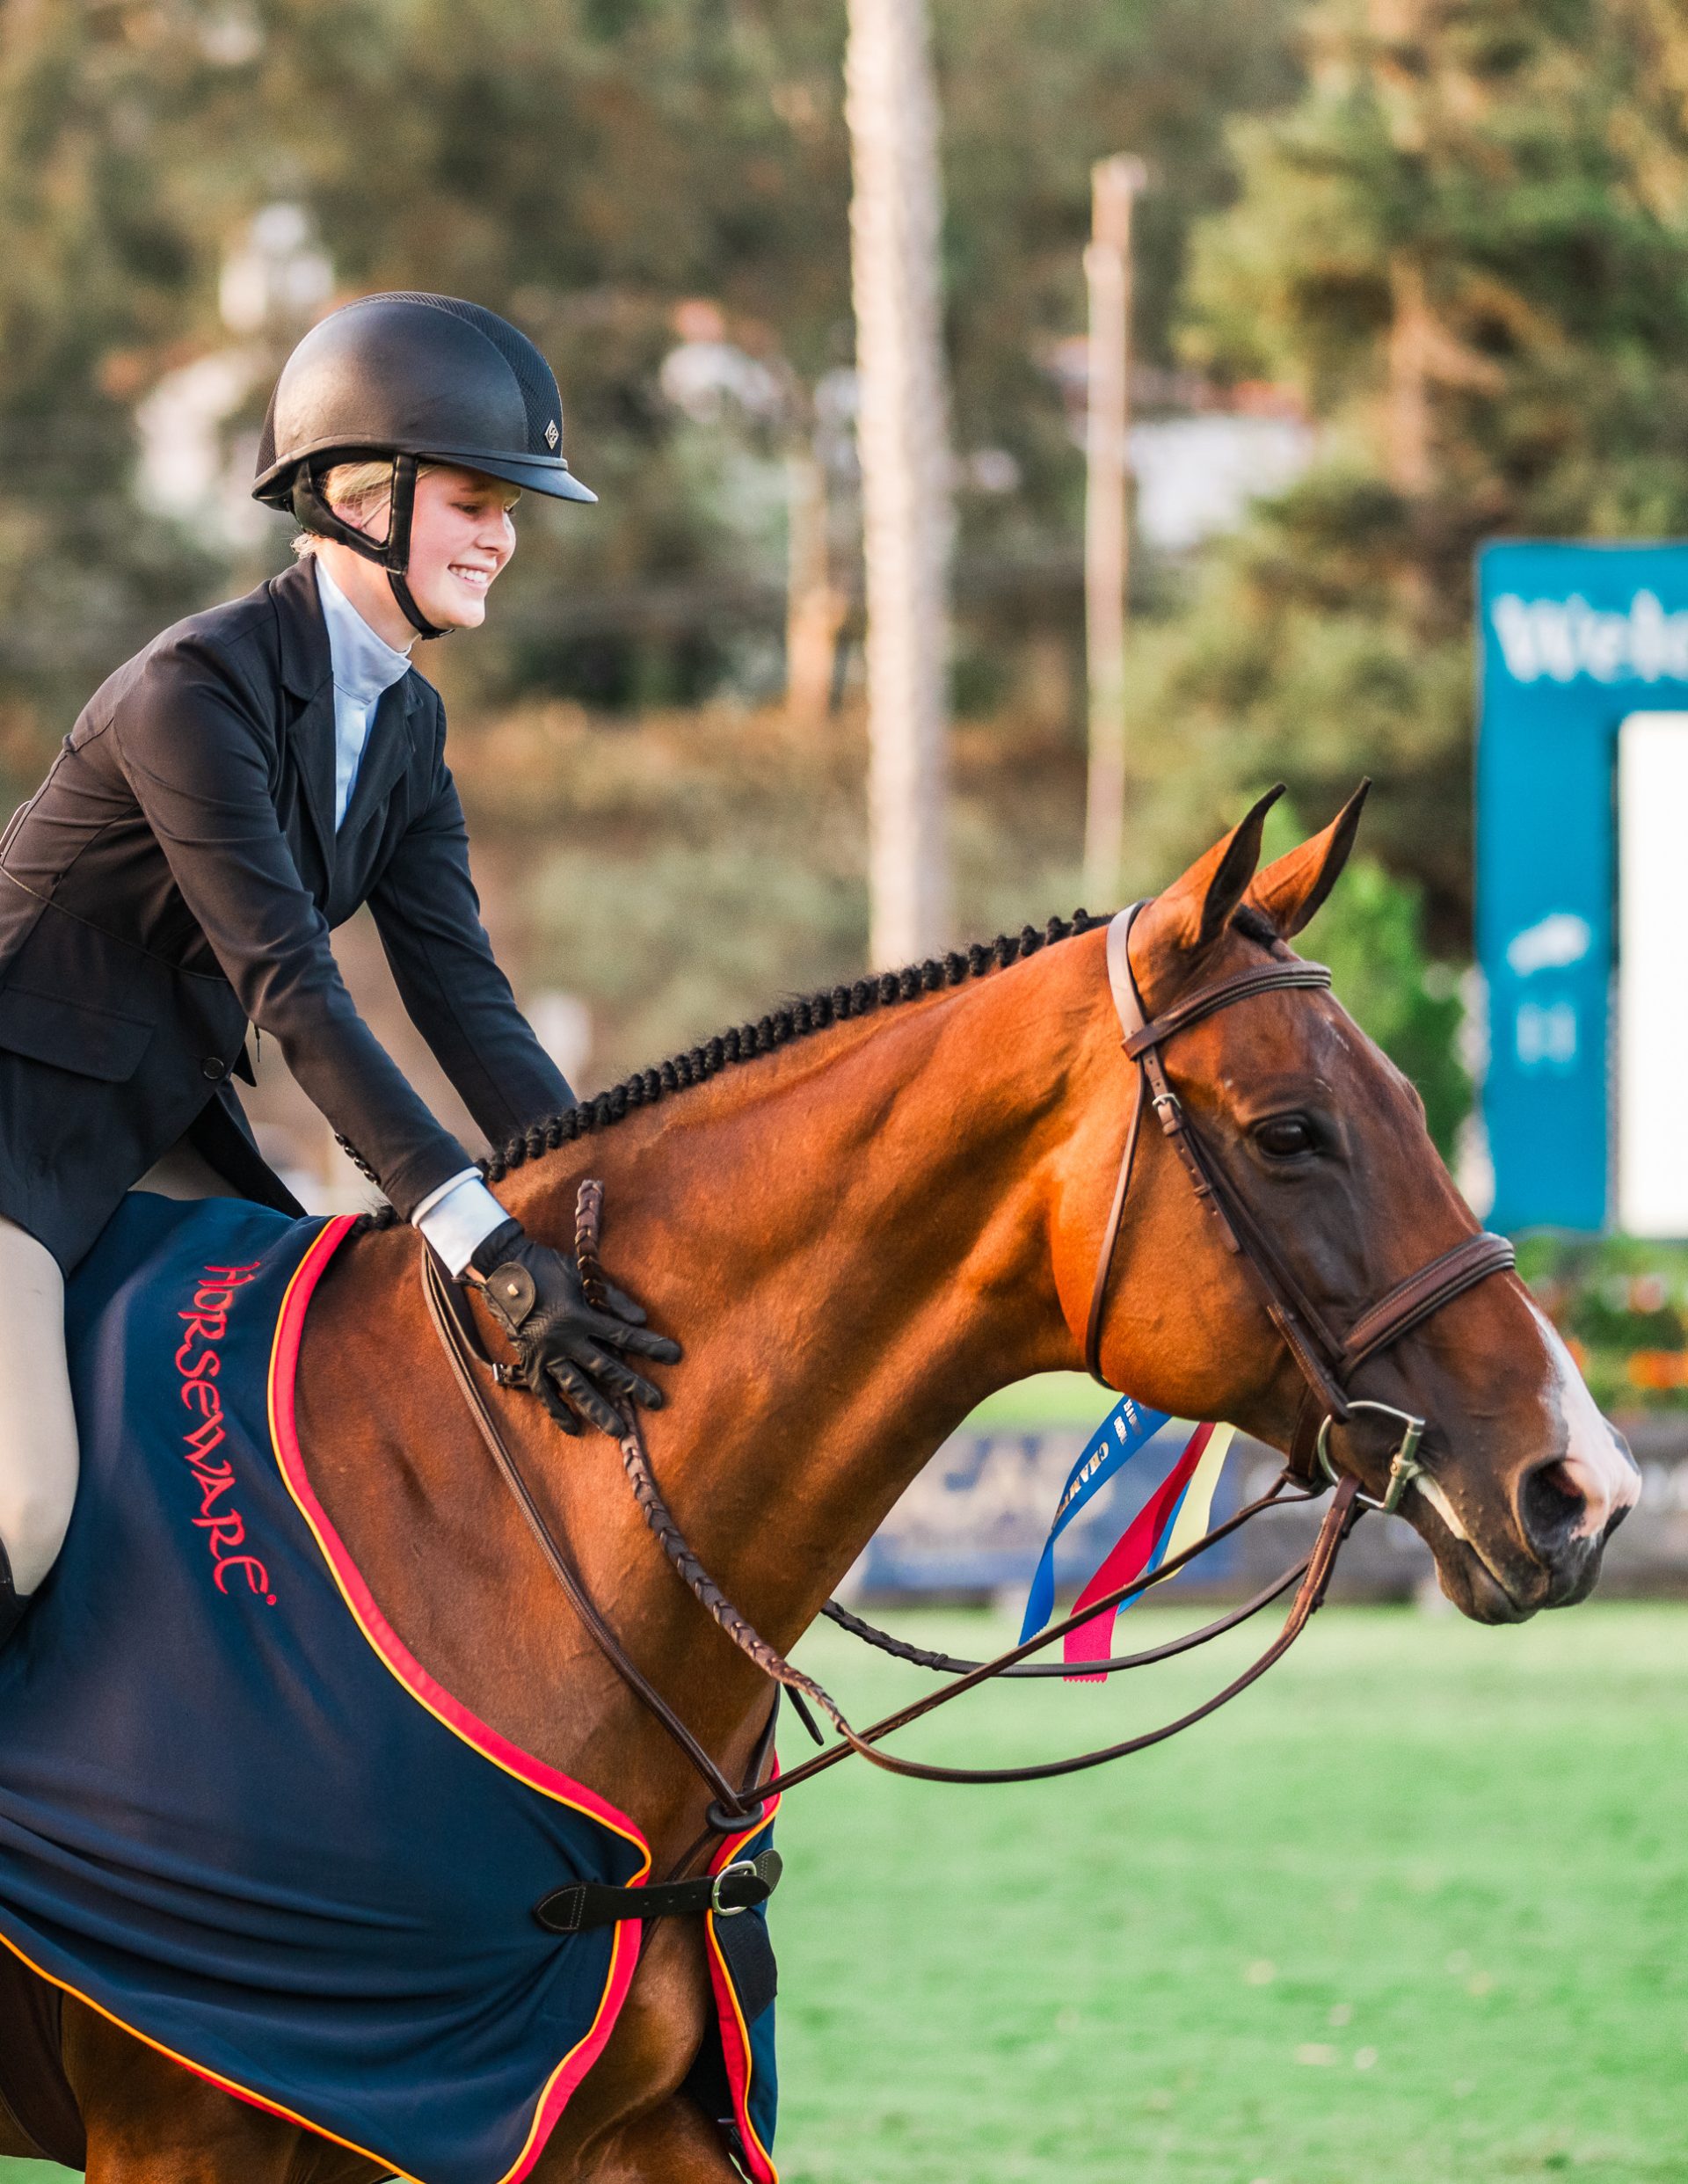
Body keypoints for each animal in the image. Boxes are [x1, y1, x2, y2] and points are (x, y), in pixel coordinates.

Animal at [0, 791, 1638, 2182]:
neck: (484, 1521)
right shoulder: (200, 2133)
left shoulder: (630, 2110)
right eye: (1291, 1131)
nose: (1585, 1487)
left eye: (1416, 1104)